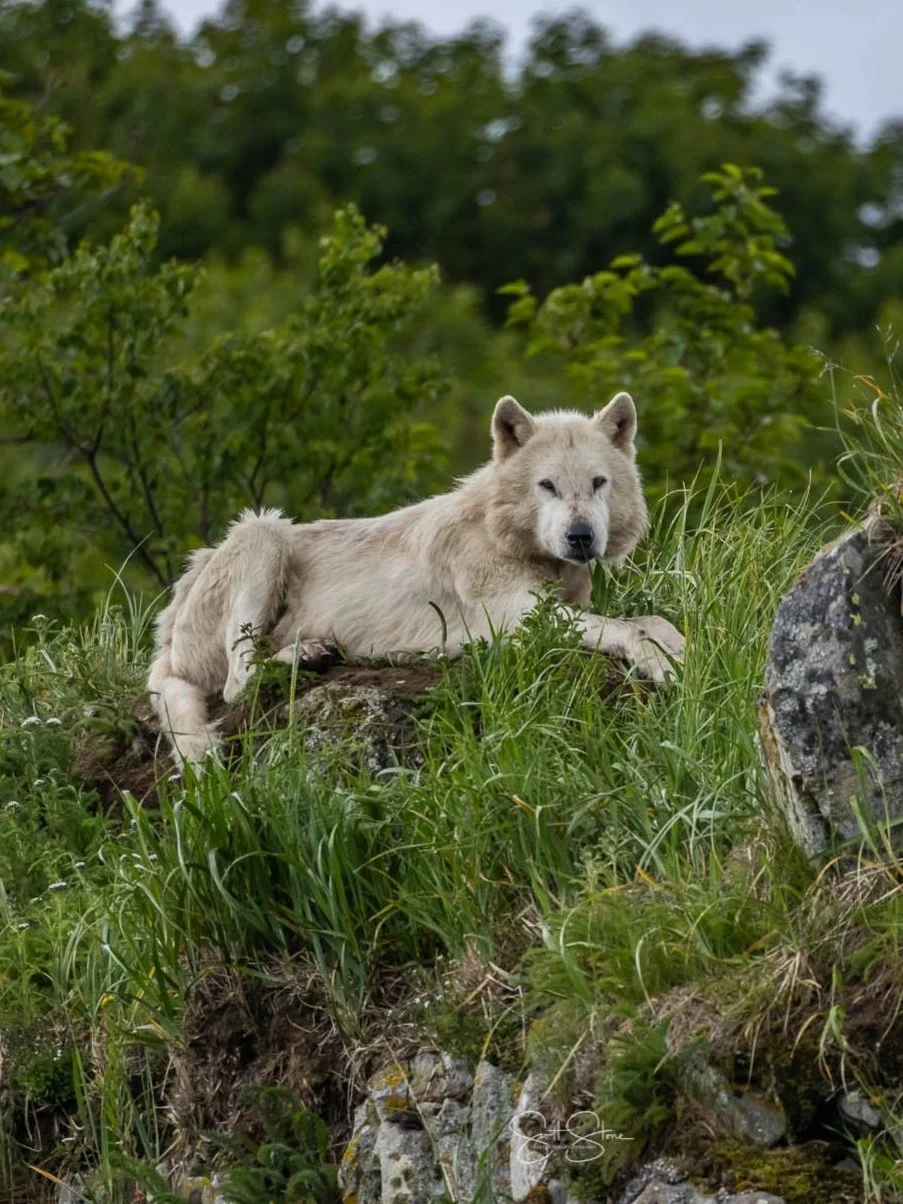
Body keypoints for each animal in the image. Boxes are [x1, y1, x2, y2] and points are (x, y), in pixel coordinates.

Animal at [148, 392, 684, 766]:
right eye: (547, 485)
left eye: (597, 483)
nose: (580, 537)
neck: (506, 537)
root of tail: (167, 629)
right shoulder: (521, 617)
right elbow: (630, 627)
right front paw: (659, 659)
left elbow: (650, 620)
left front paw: (675, 648)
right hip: (264, 531)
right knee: (237, 683)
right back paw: (304, 654)